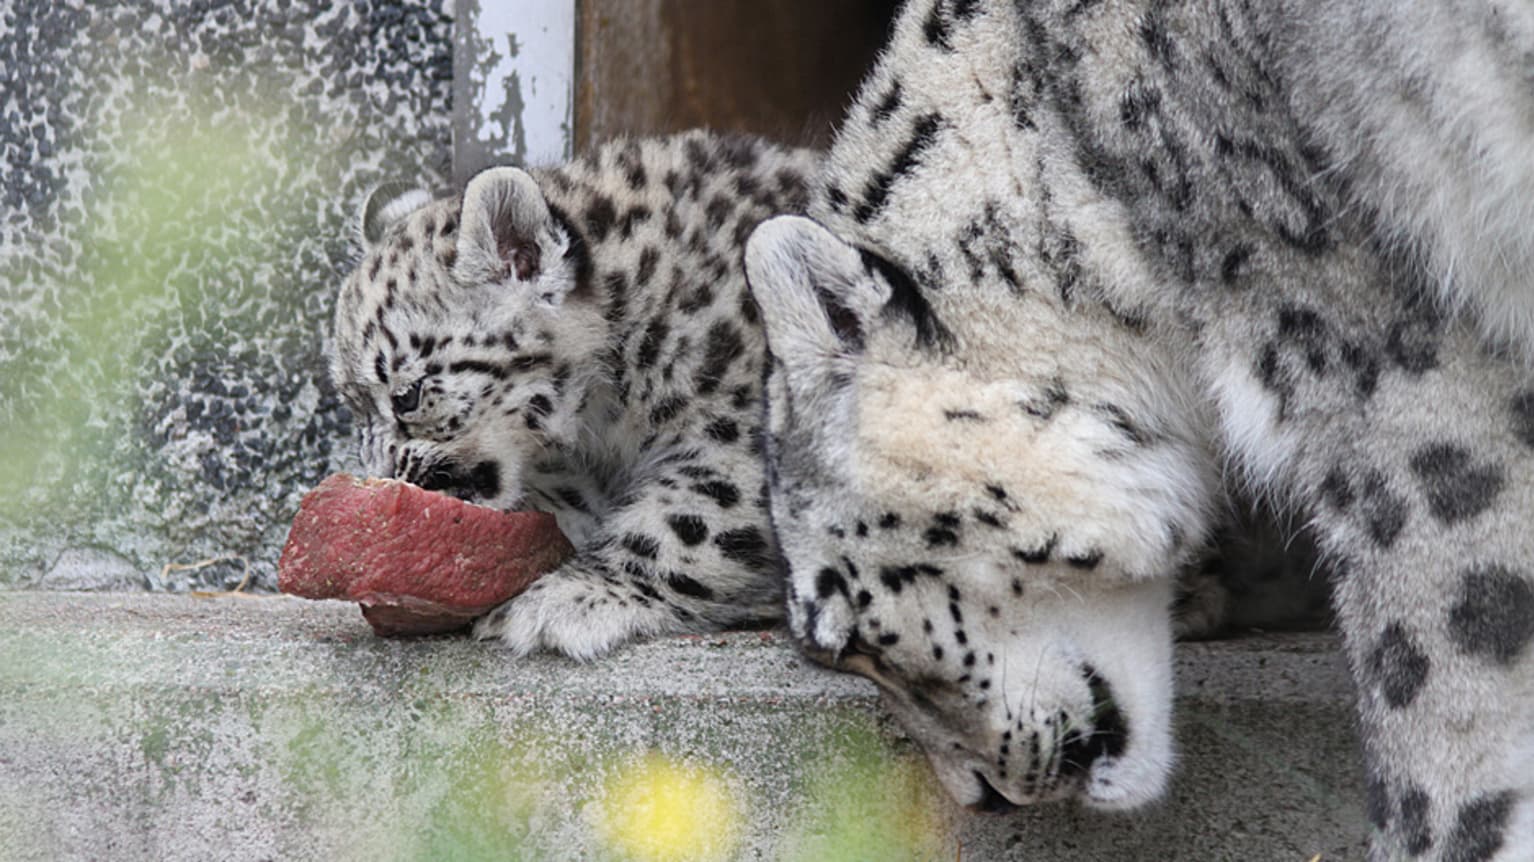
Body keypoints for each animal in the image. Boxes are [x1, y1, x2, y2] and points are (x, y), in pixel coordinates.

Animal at [329, 130, 817, 659]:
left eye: (408, 394)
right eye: (351, 404)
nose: (382, 477)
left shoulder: (741, 439)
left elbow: (693, 523)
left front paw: (568, 598)